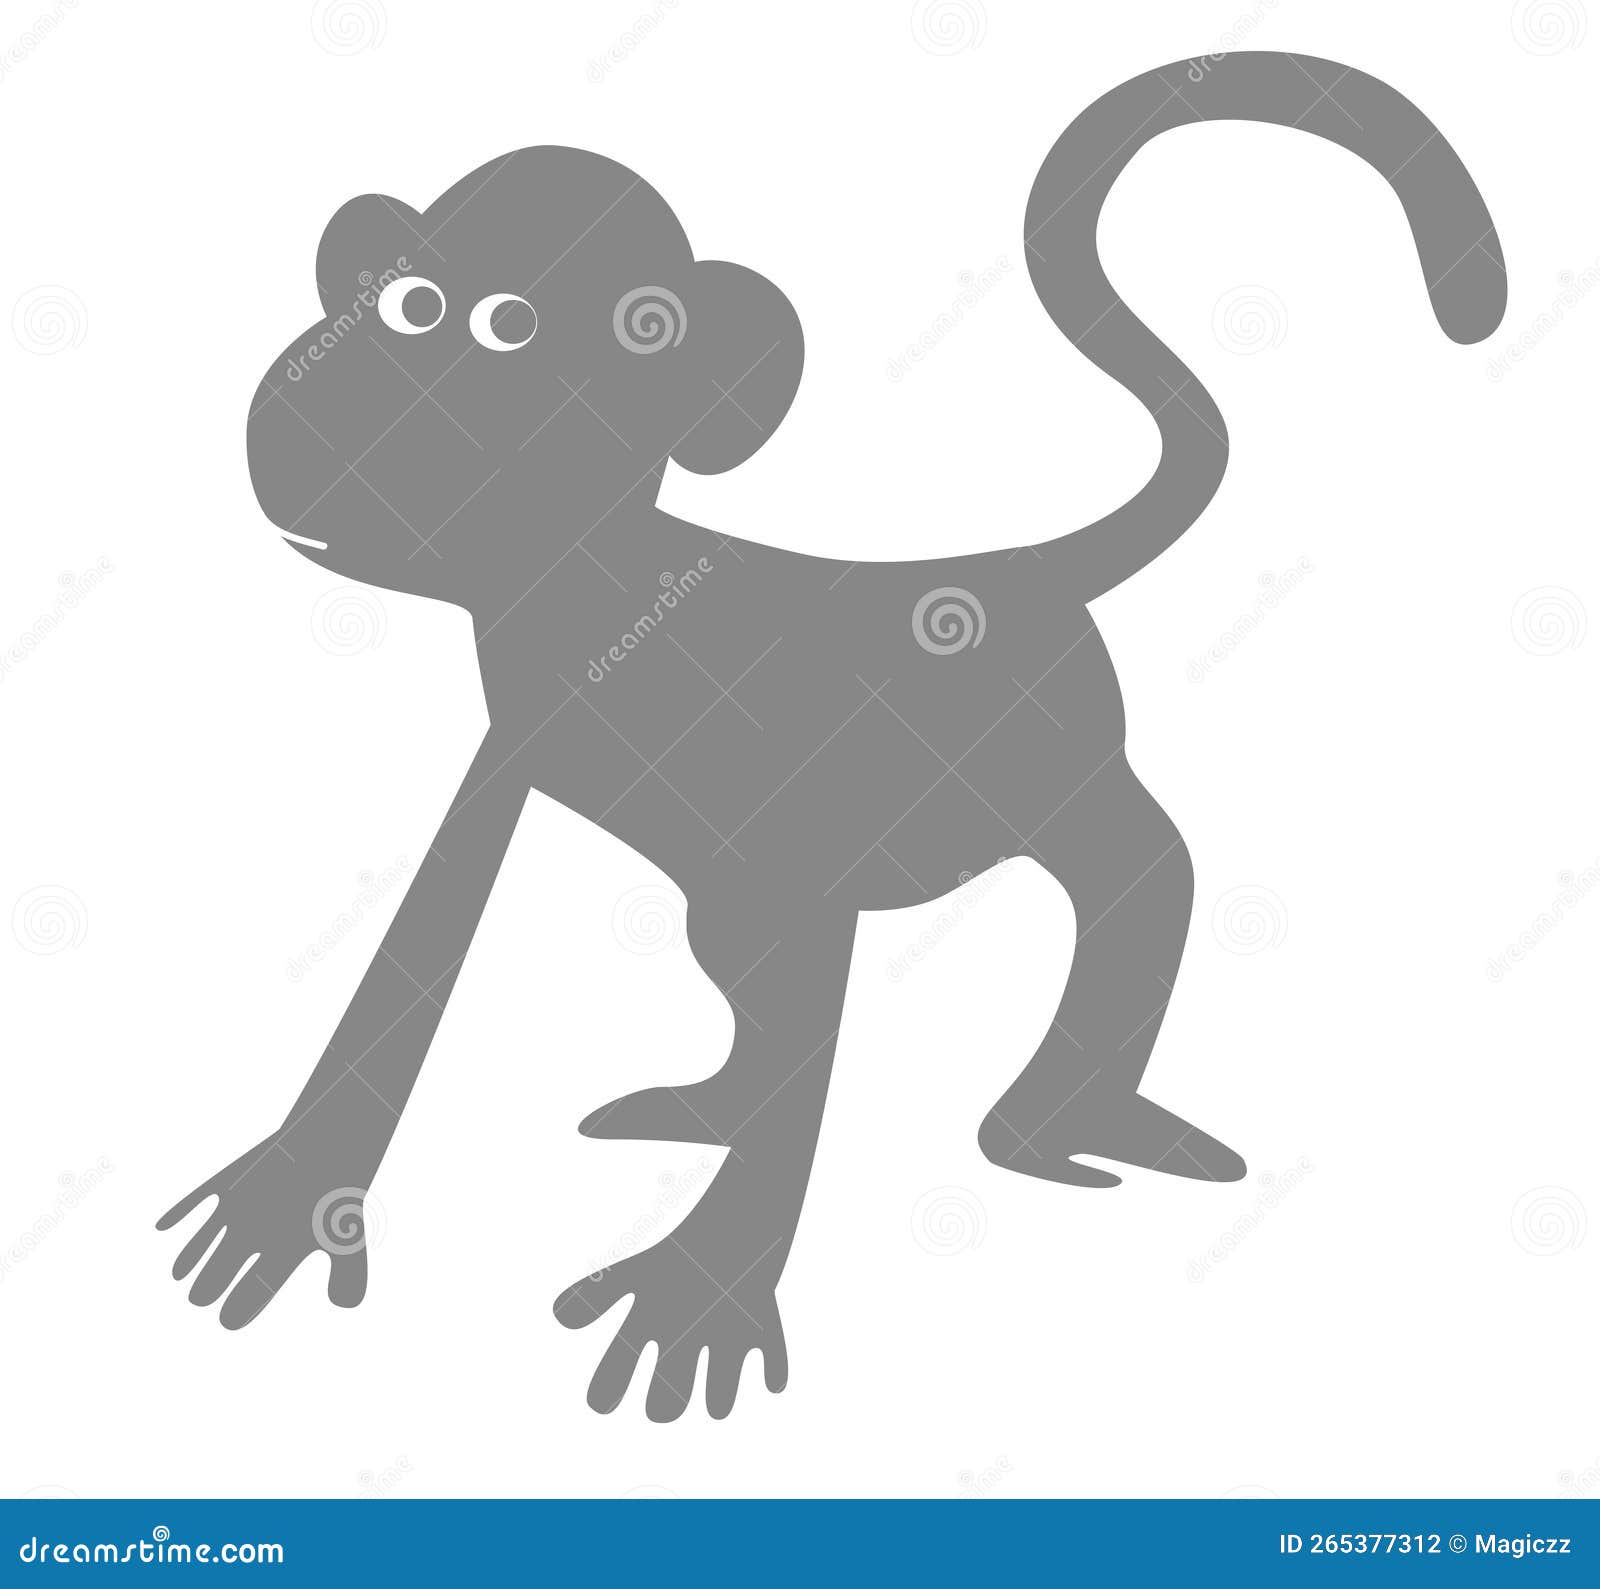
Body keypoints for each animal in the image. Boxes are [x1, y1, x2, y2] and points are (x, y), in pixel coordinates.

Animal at [157, 53, 1504, 1421]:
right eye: (407, 302)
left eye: (507, 327)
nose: (321, 428)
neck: (599, 595)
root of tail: (1022, 565)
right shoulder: (510, 752)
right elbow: (420, 942)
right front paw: (292, 1198)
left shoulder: (801, 851)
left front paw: (696, 1297)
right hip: (744, 890)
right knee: (760, 1001)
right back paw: (709, 1104)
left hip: (1056, 773)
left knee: (1145, 868)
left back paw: (1056, 1120)